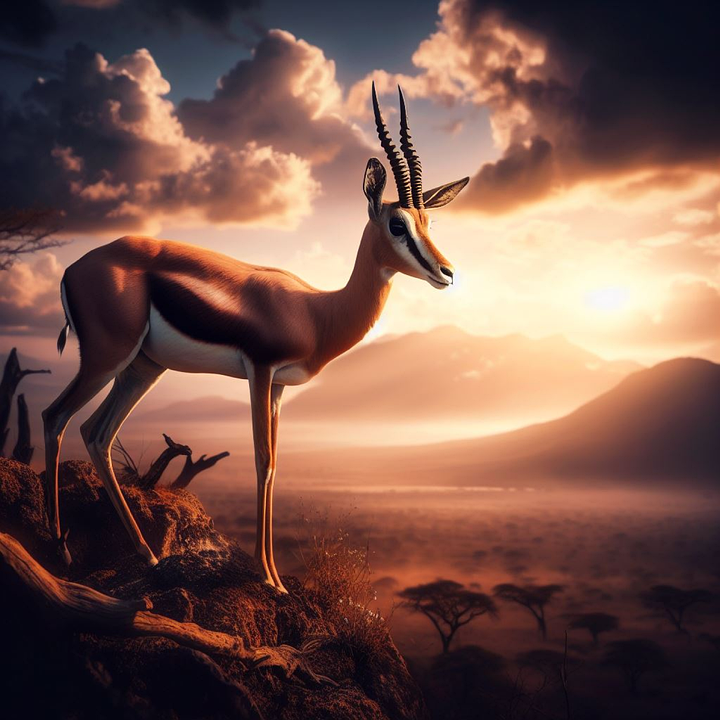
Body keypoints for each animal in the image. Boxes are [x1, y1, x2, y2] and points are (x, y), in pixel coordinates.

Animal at [42, 84, 468, 592]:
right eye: (397, 224)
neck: (317, 312)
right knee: (55, 417)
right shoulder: (260, 371)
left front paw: (276, 577)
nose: (446, 272)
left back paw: (147, 556)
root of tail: (73, 268)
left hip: (143, 367)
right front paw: (267, 578)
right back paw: (62, 554)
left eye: (429, 222)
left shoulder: (280, 386)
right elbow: (262, 460)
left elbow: (275, 467)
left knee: (96, 433)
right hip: (106, 358)